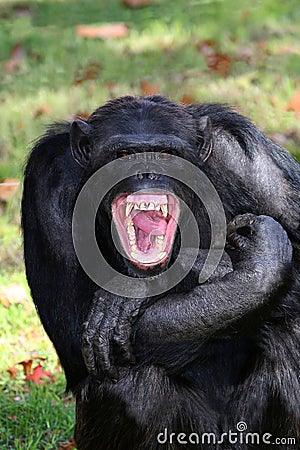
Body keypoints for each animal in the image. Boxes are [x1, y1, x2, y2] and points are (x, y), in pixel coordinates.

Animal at [21, 94, 300, 446]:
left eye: (167, 154)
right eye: (124, 155)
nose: (147, 173)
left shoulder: (252, 162)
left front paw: (132, 293)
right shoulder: (48, 179)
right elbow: (71, 327)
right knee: (128, 381)